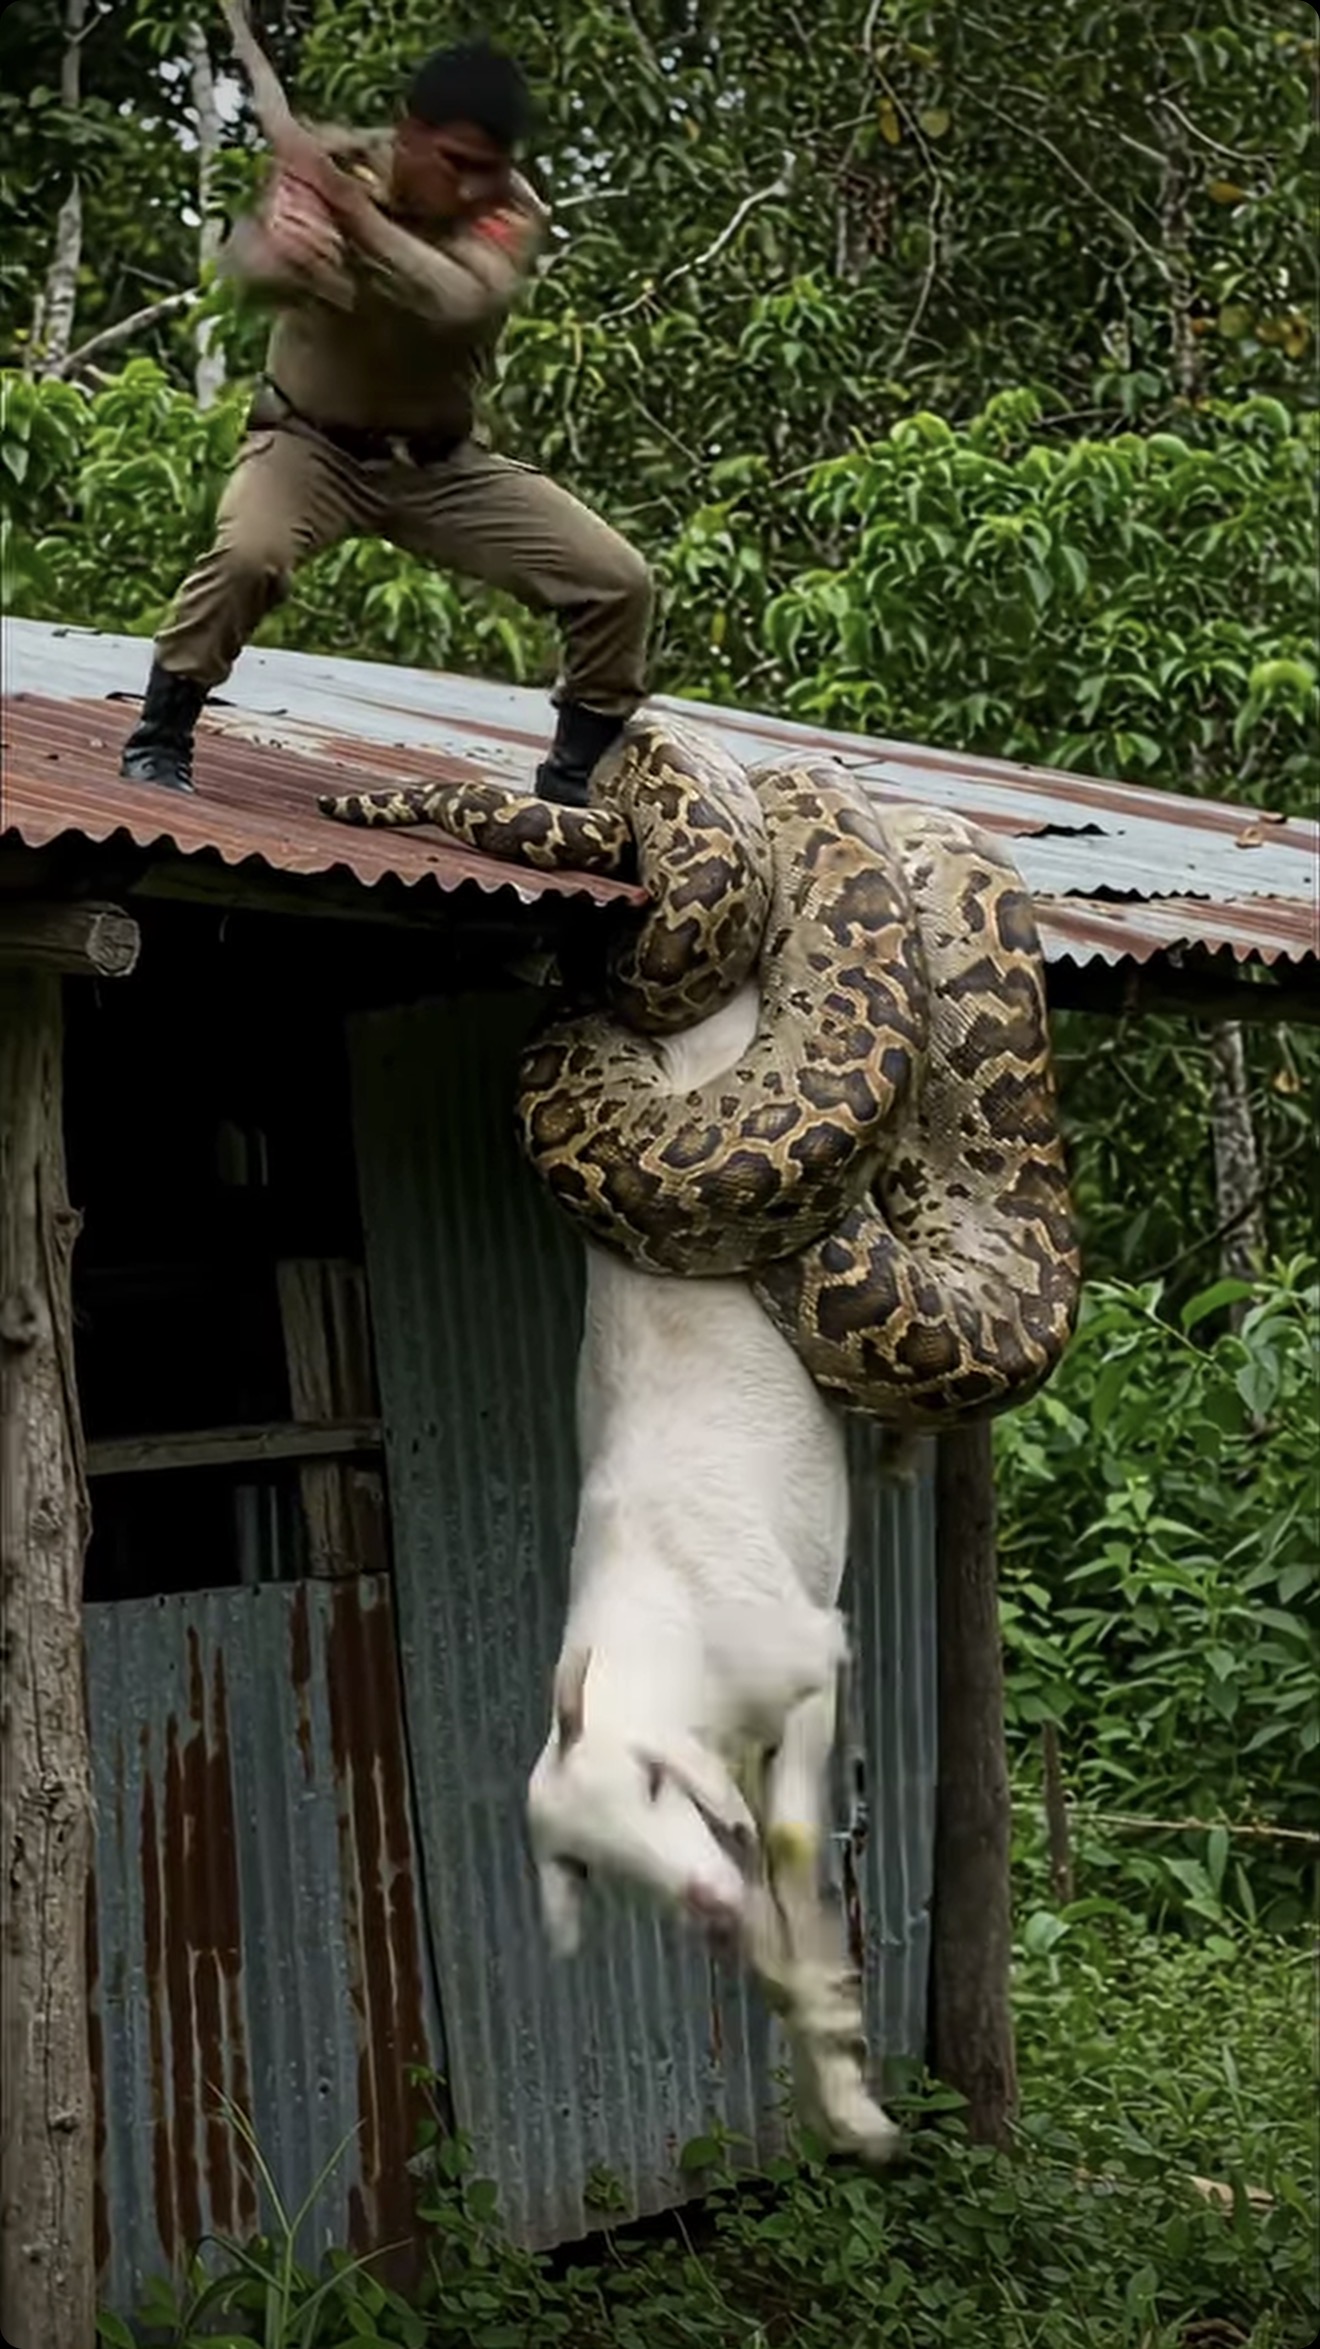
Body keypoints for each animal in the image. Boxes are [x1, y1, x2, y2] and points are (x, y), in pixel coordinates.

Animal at [526, 981, 902, 2163]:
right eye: (592, 1868)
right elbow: (760, 1892)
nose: (707, 1913)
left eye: (650, 1781)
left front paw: (854, 2084)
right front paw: (830, 2063)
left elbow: (789, 1836)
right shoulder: (724, 1763)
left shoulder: (813, 1657)